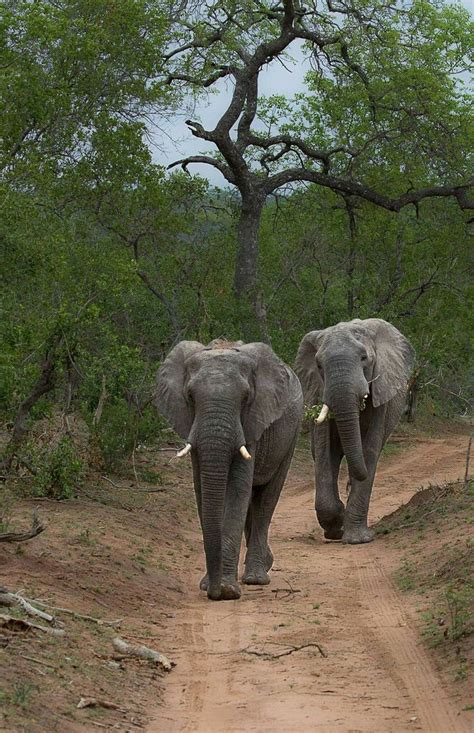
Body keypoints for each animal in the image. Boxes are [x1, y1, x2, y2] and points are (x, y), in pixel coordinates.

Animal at [156, 339, 303, 600]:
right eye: (190, 396)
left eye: (245, 398)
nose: (213, 591)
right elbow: (203, 491)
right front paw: (210, 585)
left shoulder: (253, 420)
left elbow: (237, 490)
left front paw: (226, 590)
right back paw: (263, 565)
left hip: (292, 433)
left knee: (267, 498)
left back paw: (255, 578)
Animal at [295, 318, 414, 544]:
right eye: (319, 365)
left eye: (364, 358)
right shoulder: (319, 391)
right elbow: (325, 451)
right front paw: (336, 528)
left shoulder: (381, 392)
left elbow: (369, 450)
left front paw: (358, 539)